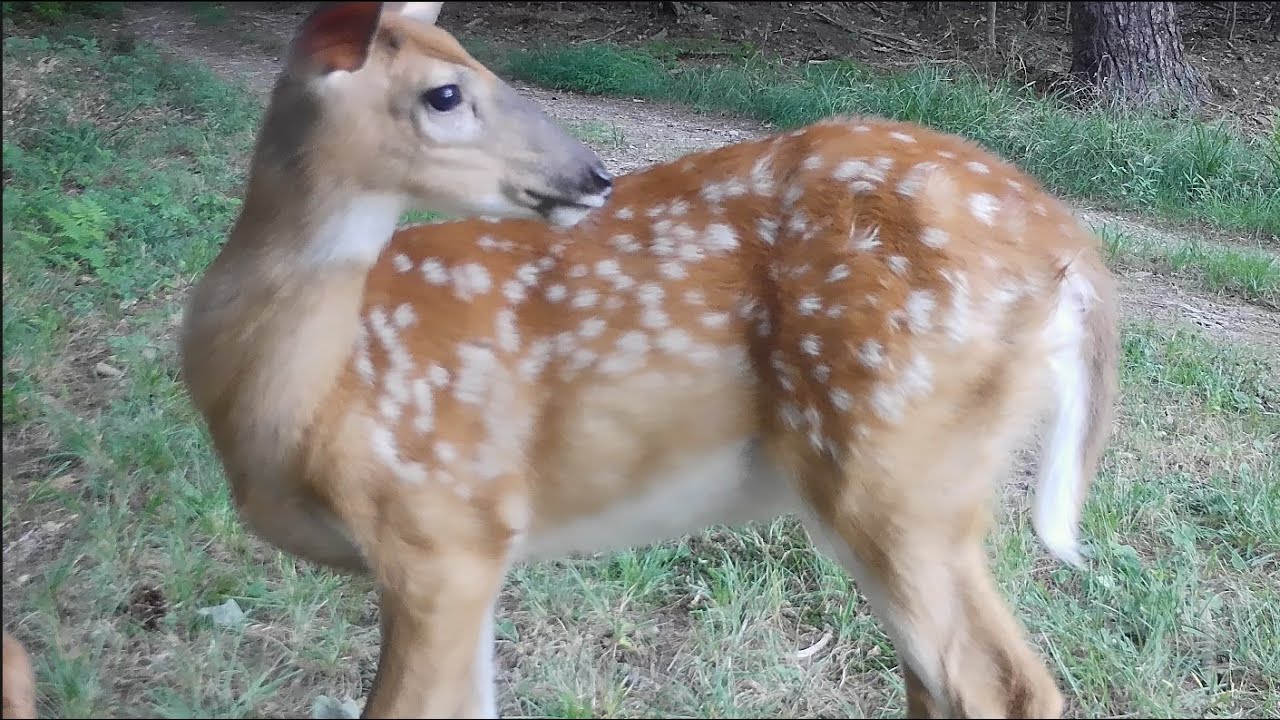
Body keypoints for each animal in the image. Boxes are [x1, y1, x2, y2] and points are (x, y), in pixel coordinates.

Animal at [178, 1, 1120, 718]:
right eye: (445, 91)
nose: (592, 174)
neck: (312, 399)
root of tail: (1072, 251)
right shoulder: (475, 549)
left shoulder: (439, 526)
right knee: (940, 682)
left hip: (900, 464)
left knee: (1001, 685)